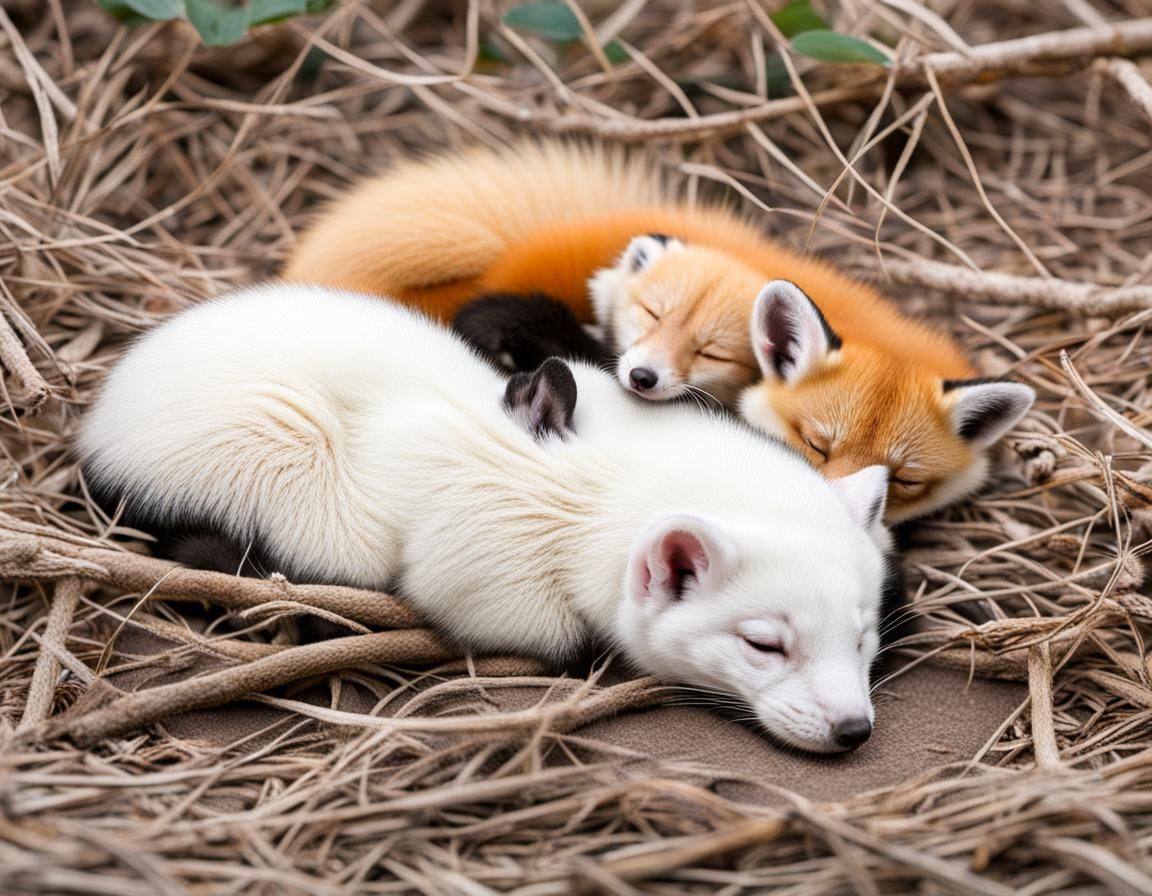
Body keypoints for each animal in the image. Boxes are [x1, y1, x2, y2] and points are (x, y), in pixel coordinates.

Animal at [78, 283, 897, 753]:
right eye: (763, 645)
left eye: (863, 639)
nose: (852, 730)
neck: (615, 482)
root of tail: (100, 428)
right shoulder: (497, 581)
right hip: (279, 458)